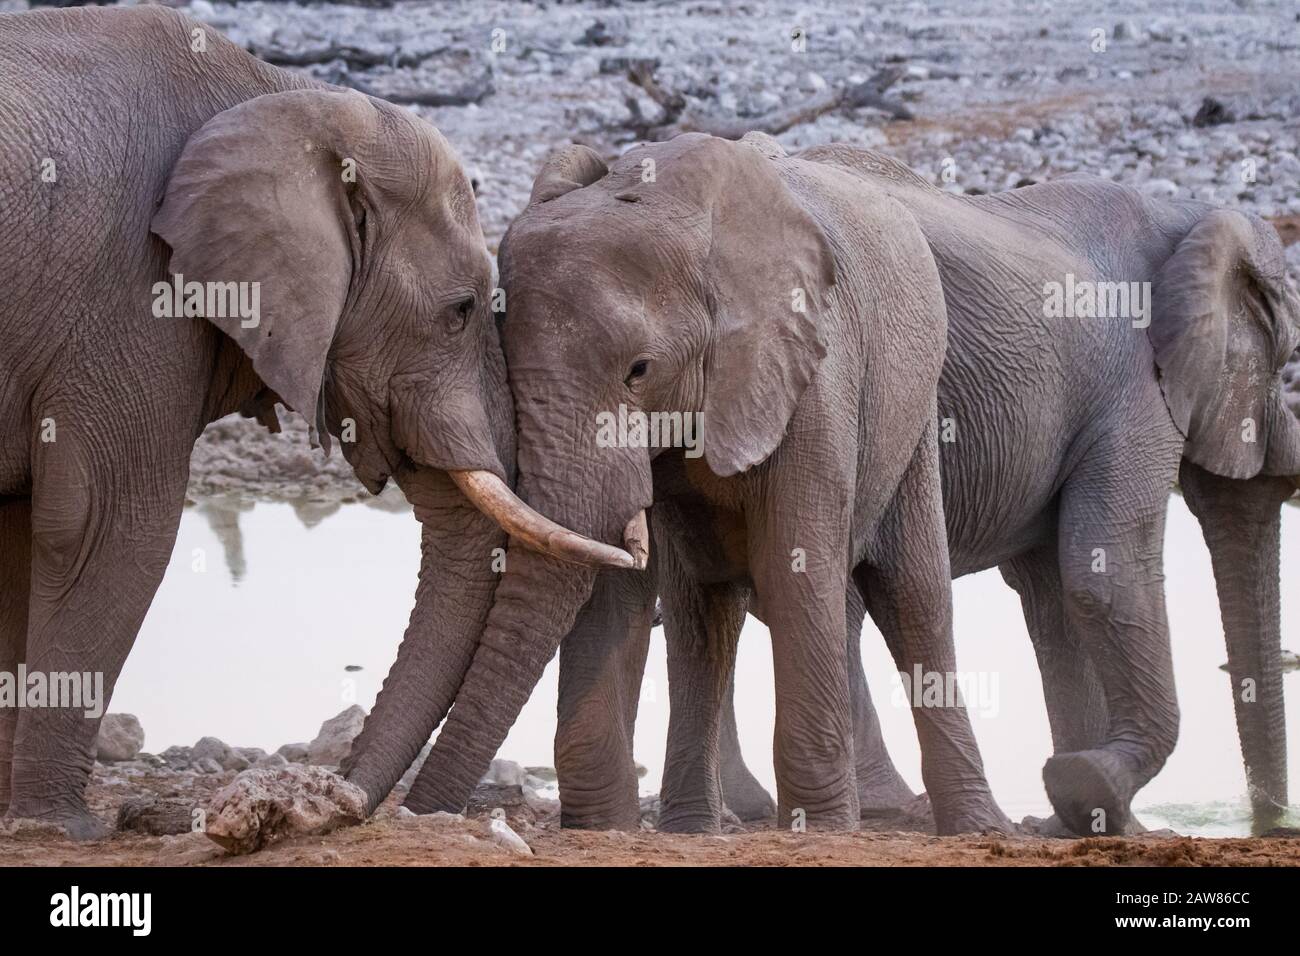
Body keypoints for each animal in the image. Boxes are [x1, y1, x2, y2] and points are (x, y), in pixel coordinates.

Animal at [0, 6, 615, 838]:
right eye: (460, 311)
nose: (339, 799)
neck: (284, 94)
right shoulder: (131, 297)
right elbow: (106, 527)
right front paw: (61, 830)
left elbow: (23, 539)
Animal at [399, 130, 1013, 834]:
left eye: (640, 370)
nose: (408, 814)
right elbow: (616, 578)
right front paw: (603, 827)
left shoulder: (811, 378)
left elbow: (793, 567)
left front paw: (820, 828)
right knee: (706, 616)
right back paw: (693, 825)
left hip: (912, 415)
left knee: (914, 598)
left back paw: (976, 827)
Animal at [535, 141, 1300, 836]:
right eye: (1286, 356)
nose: (1273, 823)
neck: (1192, 217)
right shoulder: (1137, 391)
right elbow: (1102, 573)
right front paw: (1090, 787)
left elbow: (1052, 596)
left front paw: (1092, 819)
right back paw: (880, 808)